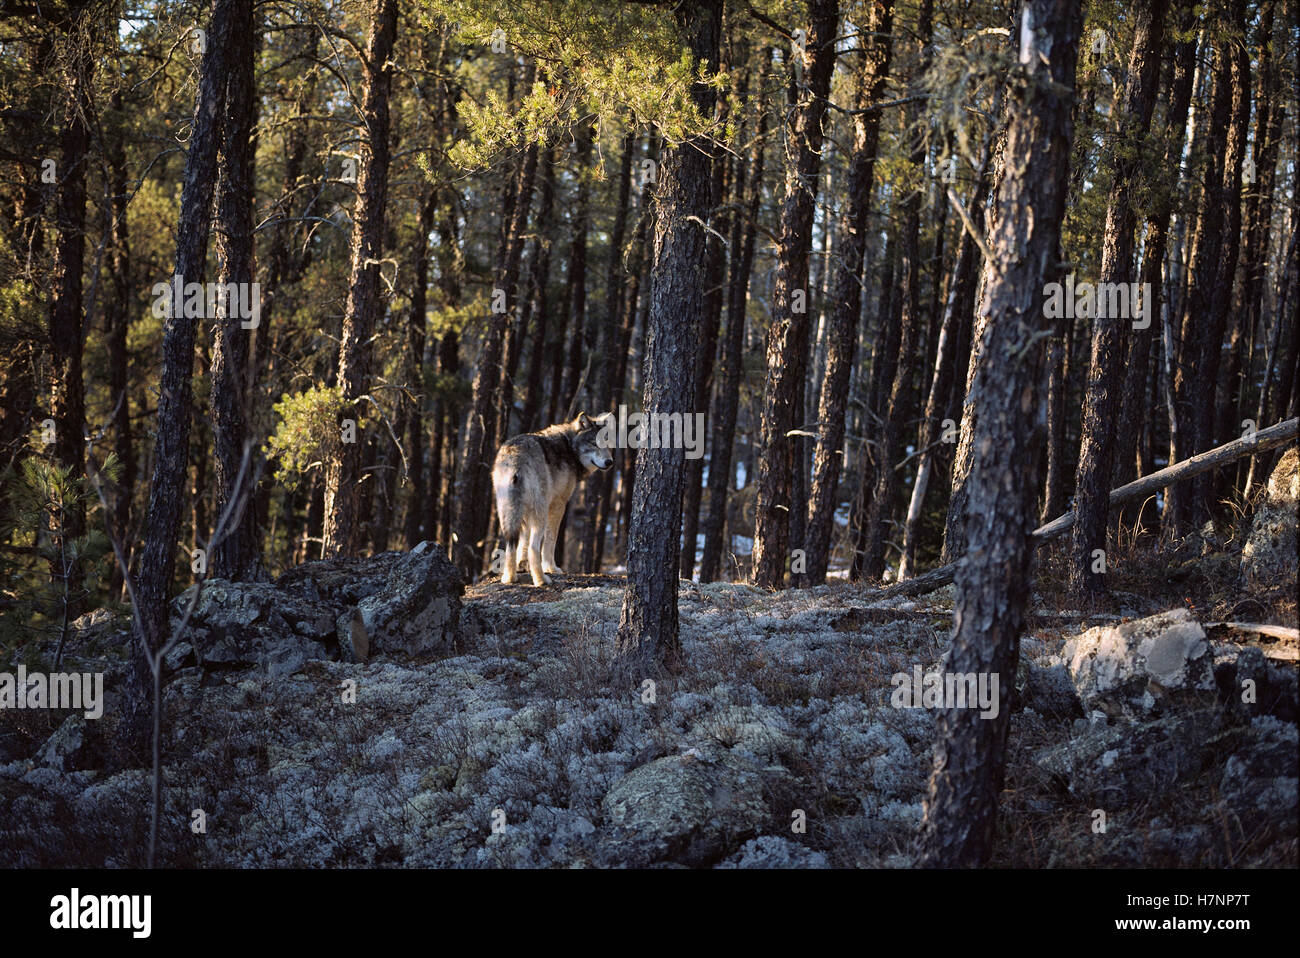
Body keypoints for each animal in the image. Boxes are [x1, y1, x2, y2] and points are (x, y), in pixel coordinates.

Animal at [493, 412, 614, 586]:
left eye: (608, 444)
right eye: (593, 443)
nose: (609, 462)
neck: (569, 447)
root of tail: (515, 458)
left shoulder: (527, 512)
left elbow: (523, 541)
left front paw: (521, 566)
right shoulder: (558, 504)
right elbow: (550, 540)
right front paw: (551, 567)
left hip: (507, 513)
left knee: (511, 542)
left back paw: (509, 578)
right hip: (541, 512)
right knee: (534, 547)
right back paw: (542, 580)